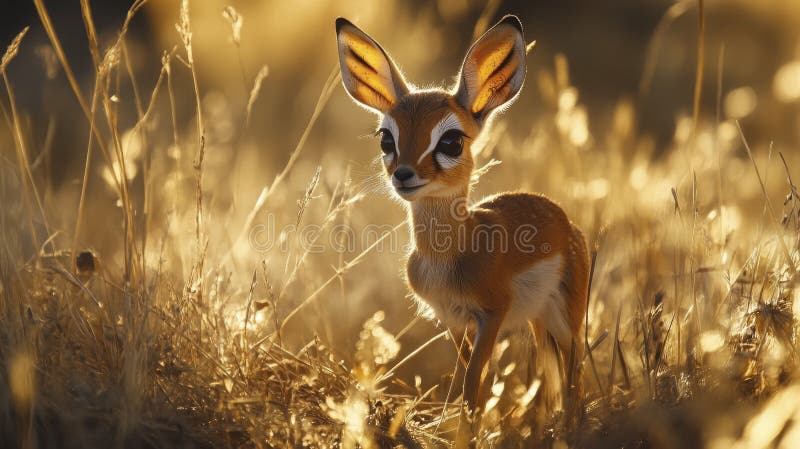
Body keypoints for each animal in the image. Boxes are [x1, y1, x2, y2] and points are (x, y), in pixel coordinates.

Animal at [335, 14, 590, 441]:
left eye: (452, 140)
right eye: (387, 138)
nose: (404, 175)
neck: (452, 253)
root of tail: (567, 223)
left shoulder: (491, 315)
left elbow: (473, 383)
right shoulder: (453, 320)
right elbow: (473, 382)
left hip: (566, 316)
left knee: (575, 367)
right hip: (538, 319)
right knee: (550, 371)